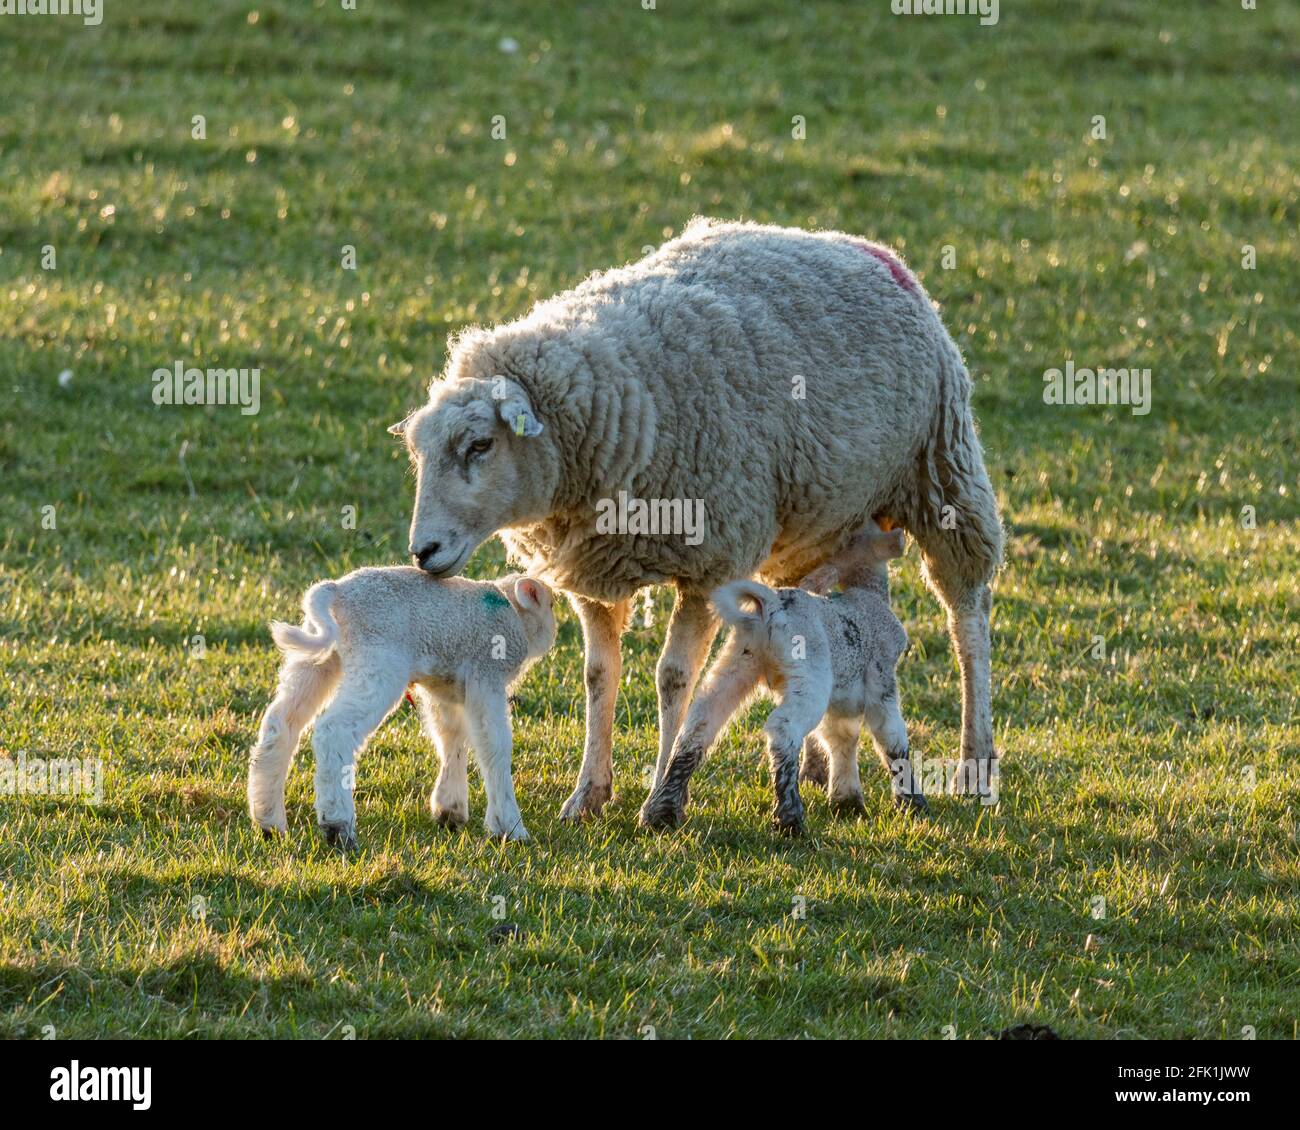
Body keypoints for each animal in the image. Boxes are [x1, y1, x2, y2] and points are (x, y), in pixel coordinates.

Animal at [246, 568, 556, 848]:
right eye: (551, 604)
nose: (554, 632)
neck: (512, 614)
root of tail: (336, 592)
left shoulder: (445, 686)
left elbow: (451, 736)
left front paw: (450, 810)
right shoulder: (486, 677)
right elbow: (494, 747)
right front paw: (509, 827)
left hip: (319, 660)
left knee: (281, 723)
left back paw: (268, 820)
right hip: (379, 664)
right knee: (333, 731)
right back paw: (338, 826)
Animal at [638, 522, 922, 834]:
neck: (869, 596)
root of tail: (770, 605)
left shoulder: (842, 695)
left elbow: (841, 738)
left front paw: (847, 803)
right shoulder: (882, 681)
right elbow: (892, 740)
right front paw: (911, 804)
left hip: (738, 661)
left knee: (699, 725)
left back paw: (662, 813)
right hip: (809, 675)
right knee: (783, 729)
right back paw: (790, 818)